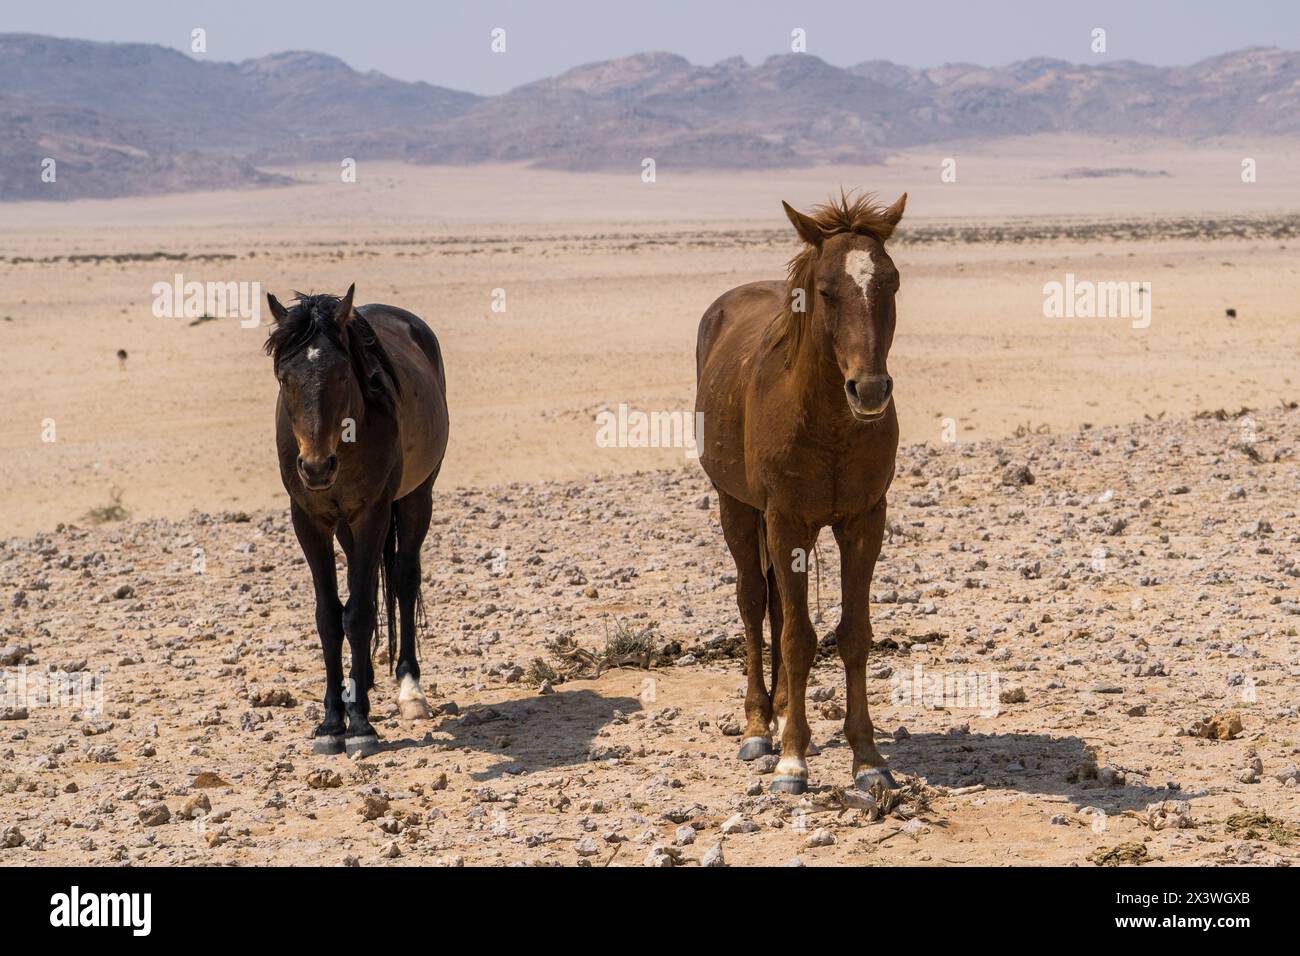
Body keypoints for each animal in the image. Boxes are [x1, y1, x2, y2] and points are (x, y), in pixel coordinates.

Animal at [264, 285, 449, 757]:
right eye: (284, 379)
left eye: (343, 375)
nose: (315, 467)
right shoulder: (308, 520)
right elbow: (331, 616)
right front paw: (332, 722)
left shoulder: (373, 513)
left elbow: (361, 612)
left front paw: (360, 725)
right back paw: (358, 683)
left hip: (417, 497)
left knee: (403, 578)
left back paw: (409, 690)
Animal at [695, 190, 907, 795]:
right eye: (827, 289)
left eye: (892, 282)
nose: (869, 390)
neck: (827, 420)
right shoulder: (785, 519)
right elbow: (794, 637)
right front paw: (790, 761)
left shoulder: (864, 522)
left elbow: (852, 634)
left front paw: (868, 758)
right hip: (739, 509)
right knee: (753, 604)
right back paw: (759, 727)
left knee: (777, 609)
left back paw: (789, 711)